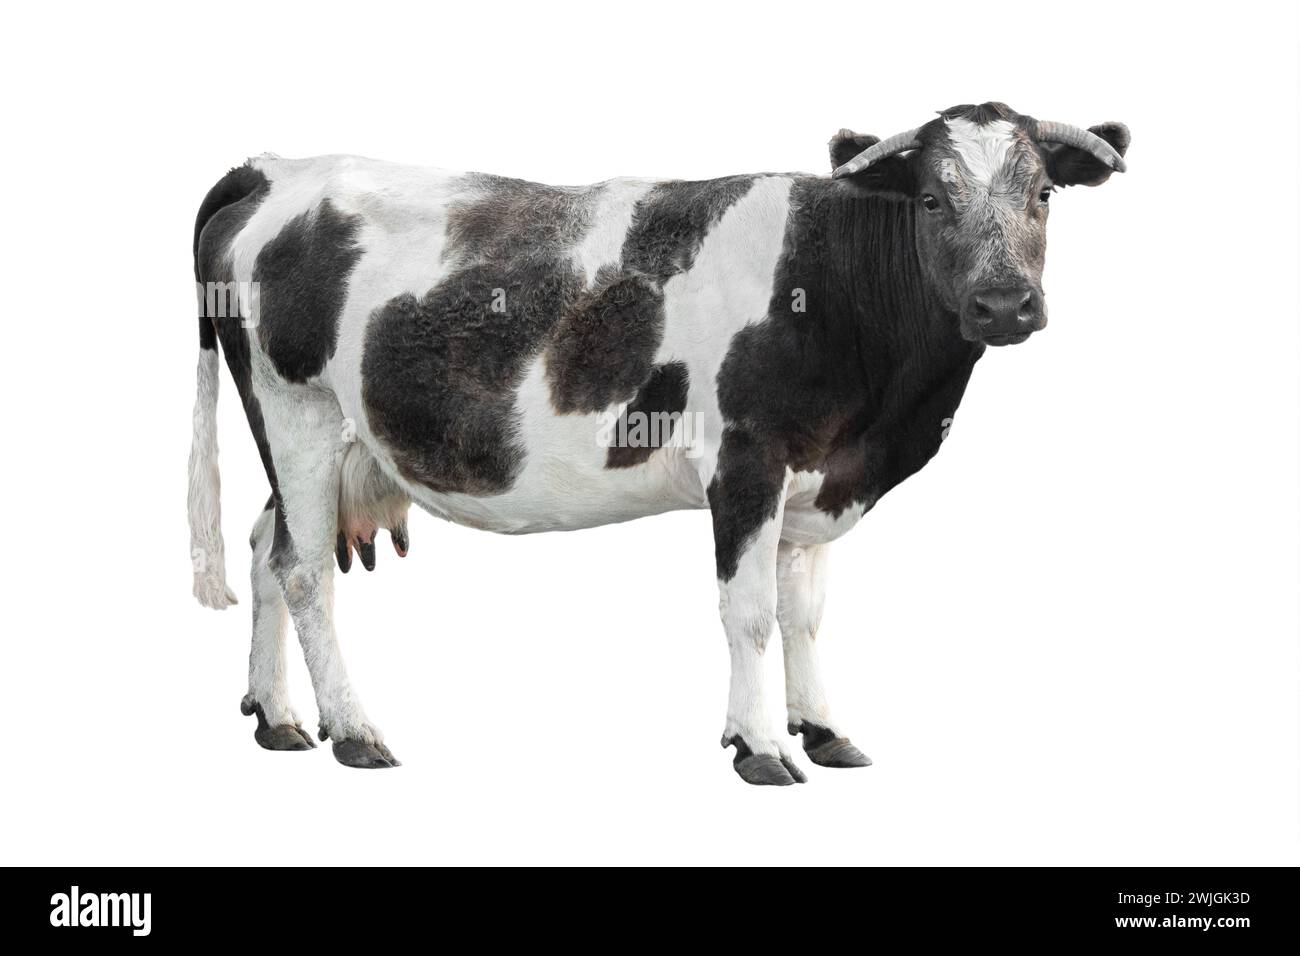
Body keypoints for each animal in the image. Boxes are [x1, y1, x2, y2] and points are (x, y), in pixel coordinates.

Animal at [188, 101, 1129, 784]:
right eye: (932, 198)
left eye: (1043, 194)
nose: (1004, 304)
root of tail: (273, 166)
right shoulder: (748, 461)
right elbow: (749, 612)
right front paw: (760, 747)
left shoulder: (821, 477)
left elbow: (805, 613)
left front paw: (823, 730)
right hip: (296, 410)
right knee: (305, 570)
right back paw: (353, 731)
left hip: (323, 438)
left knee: (266, 545)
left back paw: (277, 718)